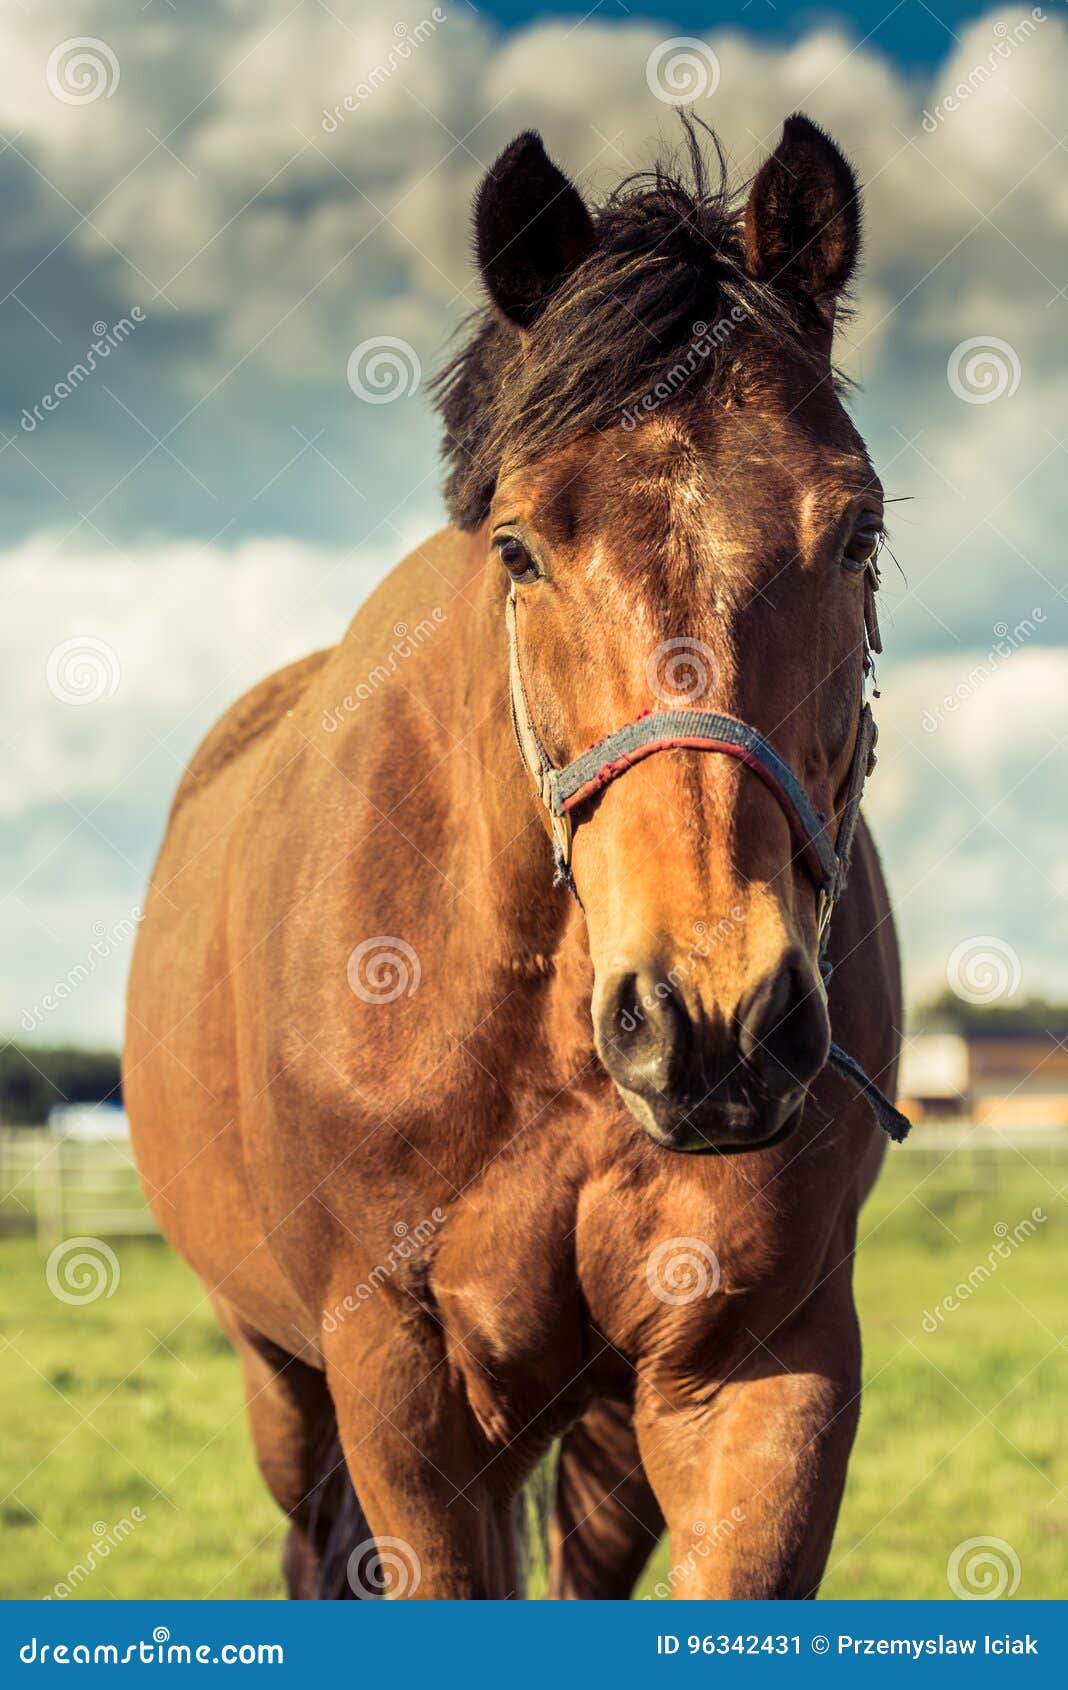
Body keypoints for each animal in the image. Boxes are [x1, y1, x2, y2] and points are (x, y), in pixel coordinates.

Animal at [125, 113, 906, 1600]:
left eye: (859, 531)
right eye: (521, 545)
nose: (713, 1021)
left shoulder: (759, 1381)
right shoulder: (402, 1393)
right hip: (280, 1378)